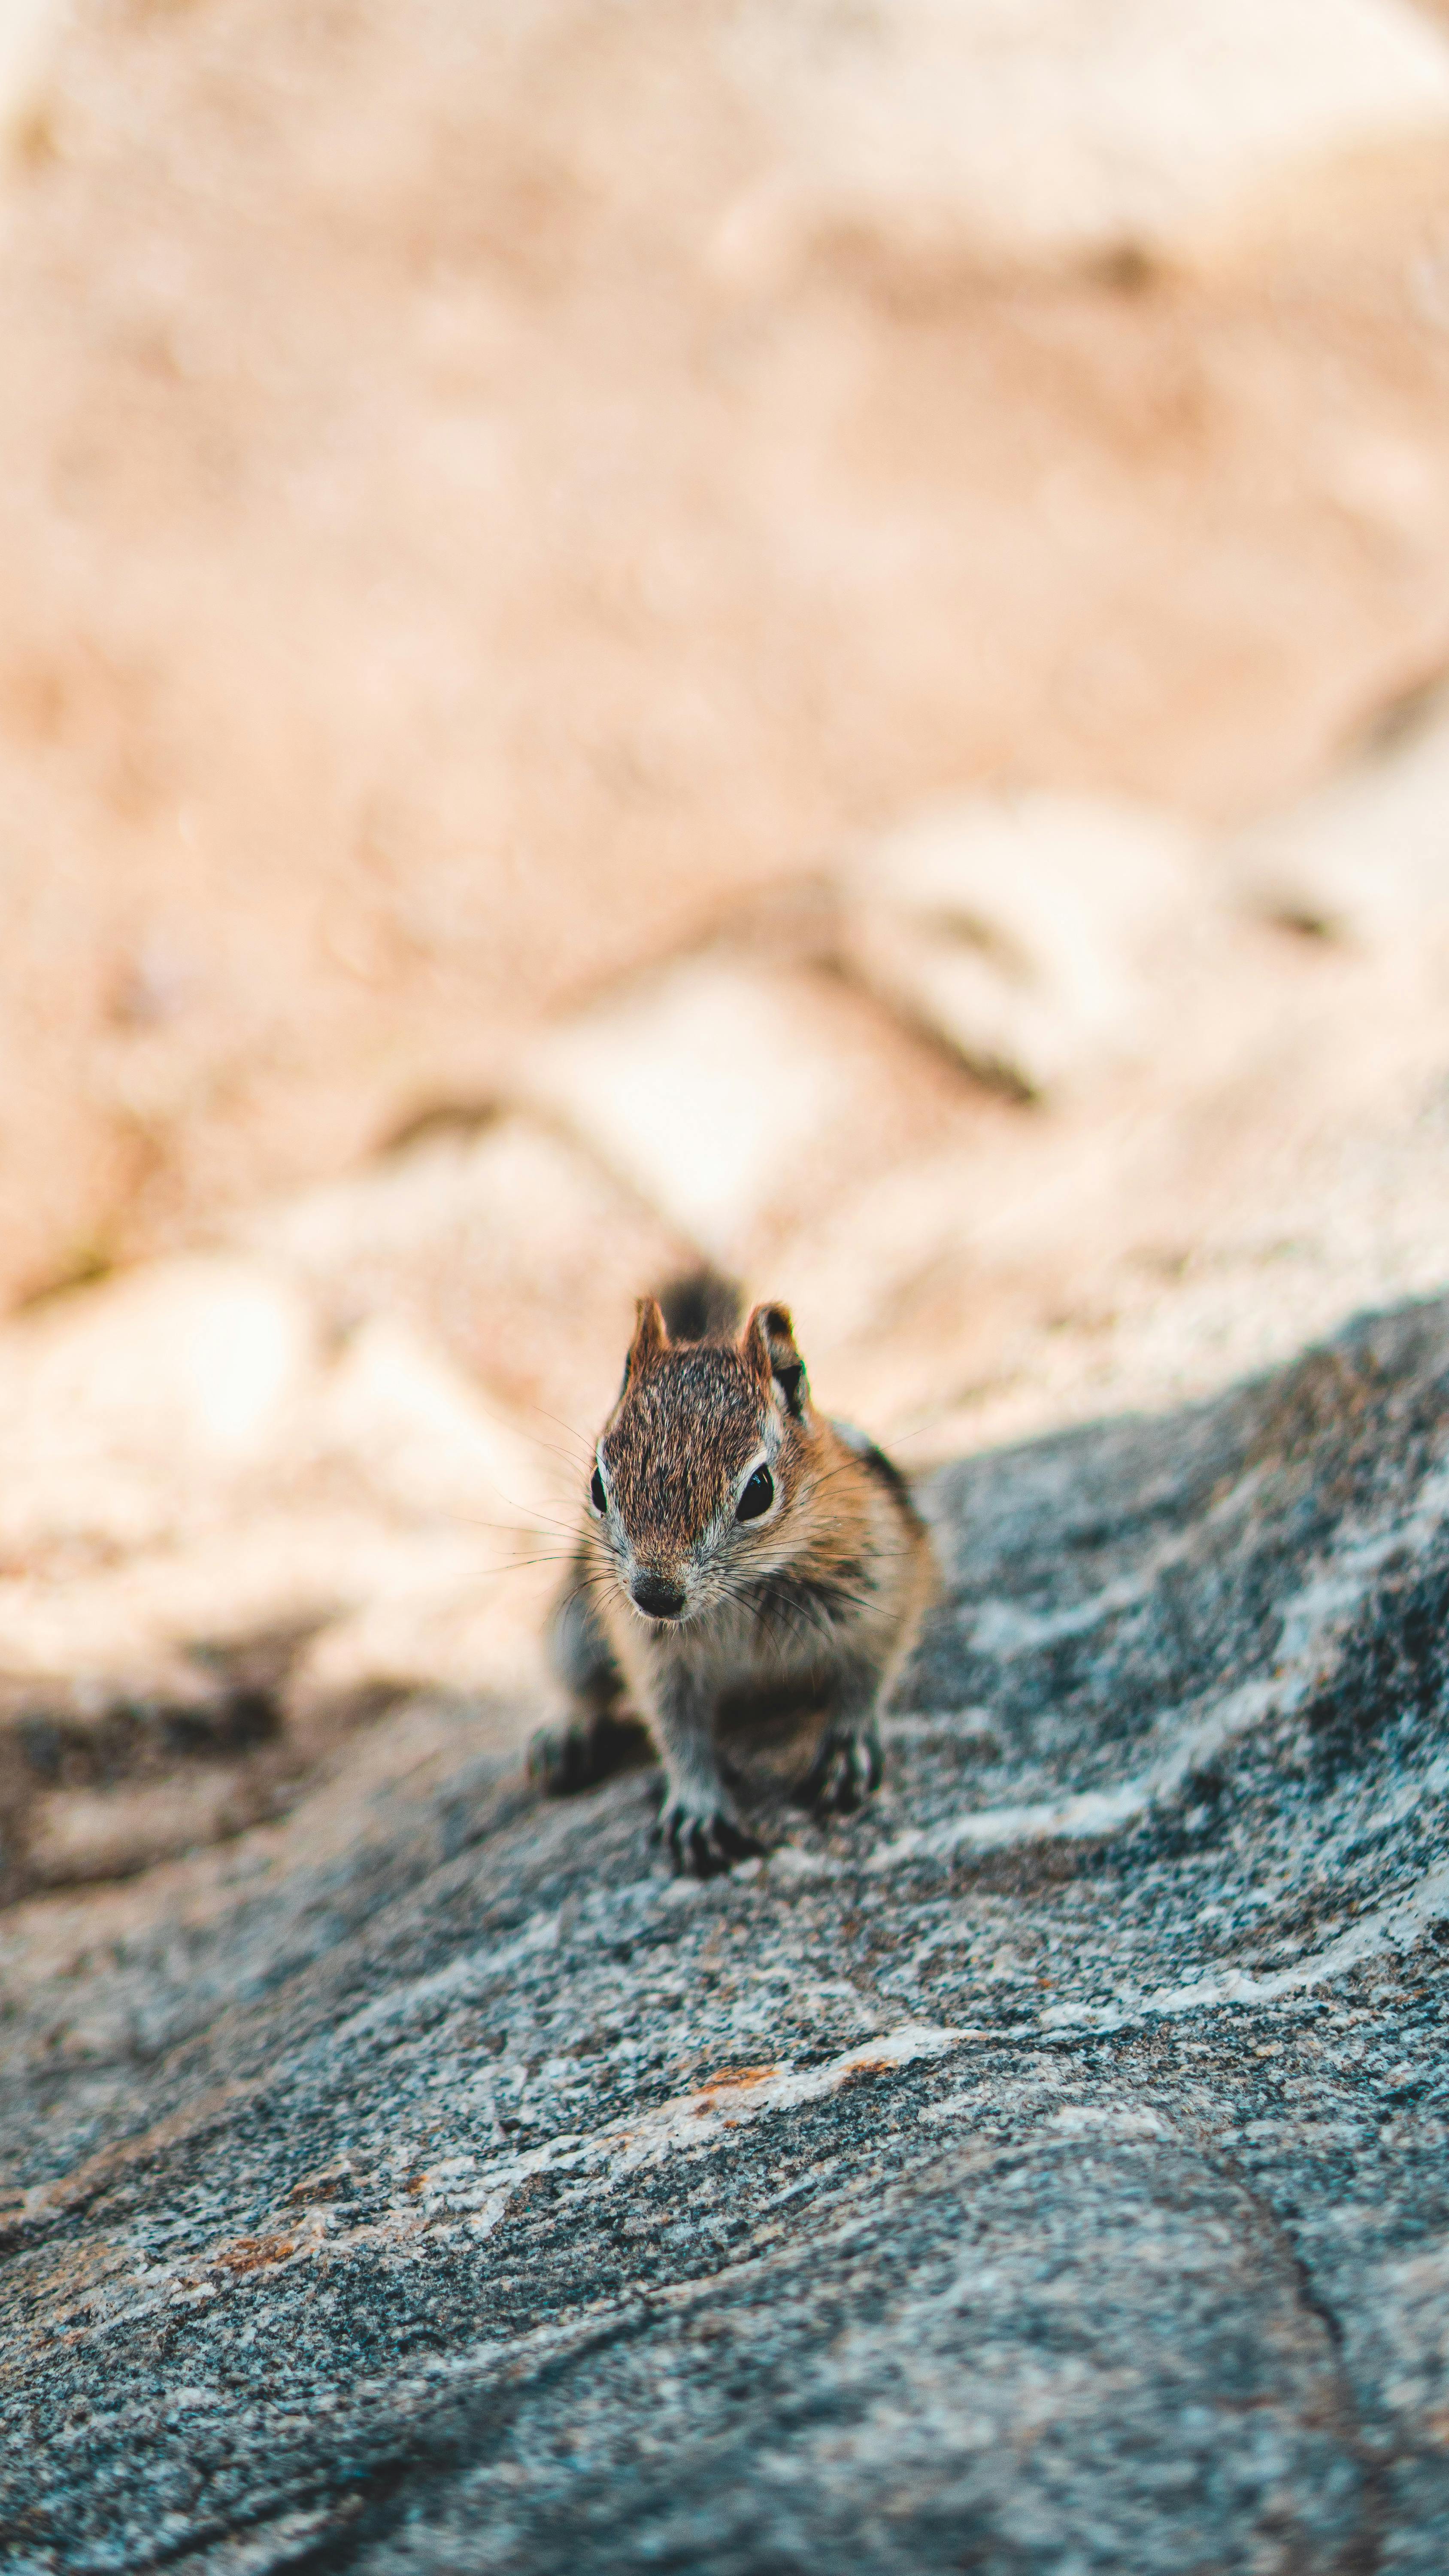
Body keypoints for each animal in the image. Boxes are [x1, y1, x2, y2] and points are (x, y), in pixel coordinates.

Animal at [529, 1271, 934, 1876]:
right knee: (578, 1682)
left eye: (759, 1490)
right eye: (598, 1487)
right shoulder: (656, 1657)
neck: (740, 1594)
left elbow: (866, 1677)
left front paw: (847, 1747)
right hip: (575, 1626)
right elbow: (678, 1732)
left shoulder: (882, 1594)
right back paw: (567, 1735)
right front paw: (697, 1807)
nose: (656, 1595)